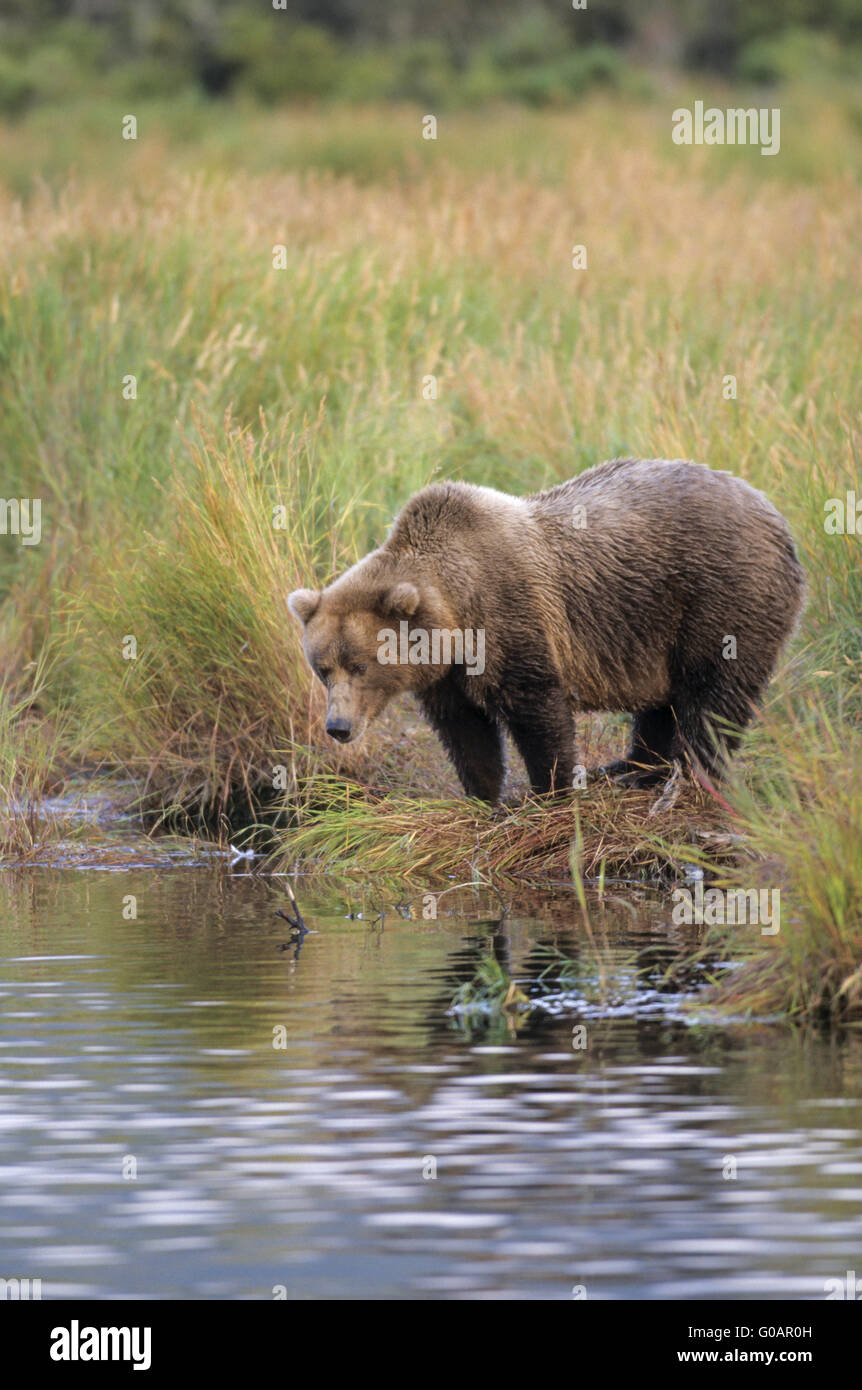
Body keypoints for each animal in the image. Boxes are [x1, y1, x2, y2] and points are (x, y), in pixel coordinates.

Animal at [288, 458, 805, 802]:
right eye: (322, 669)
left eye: (360, 665)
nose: (337, 727)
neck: (457, 607)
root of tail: (773, 512)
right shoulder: (446, 671)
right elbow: (466, 731)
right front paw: (483, 795)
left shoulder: (512, 615)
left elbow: (538, 710)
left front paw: (550, 790)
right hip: (660, 626)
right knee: (664, 700)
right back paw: (633, 769)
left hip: (720, 594)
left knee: (713, 694)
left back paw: (689, 775)